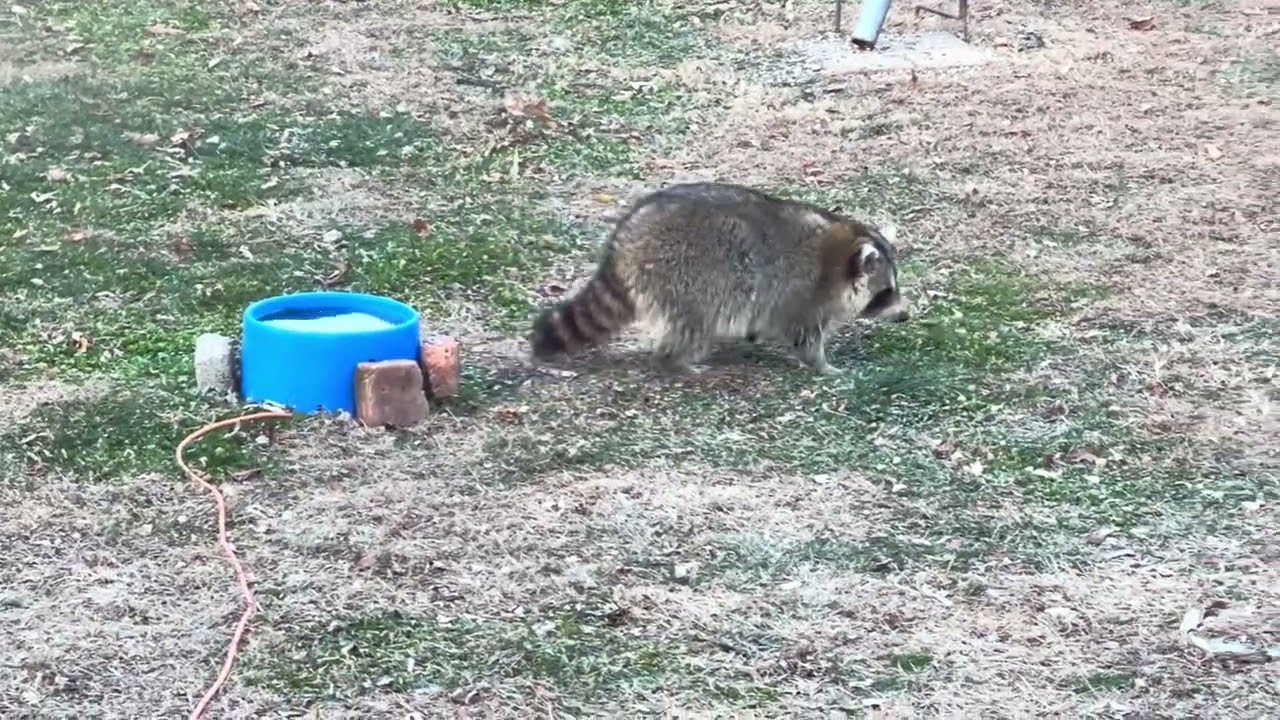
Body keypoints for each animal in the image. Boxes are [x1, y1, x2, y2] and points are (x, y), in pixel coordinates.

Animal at [529, 182, 908, 374]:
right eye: (886, 293)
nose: (905, 315)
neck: (842, 252)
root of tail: (624, 239)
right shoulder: (803, 293)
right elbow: (803, 335)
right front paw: (823, 365)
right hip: (683, 273)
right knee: (694, 321)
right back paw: (676, 360)